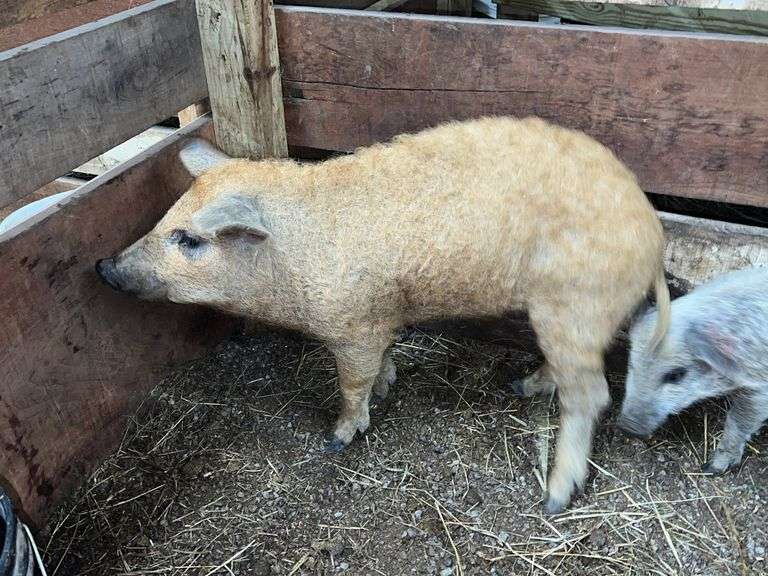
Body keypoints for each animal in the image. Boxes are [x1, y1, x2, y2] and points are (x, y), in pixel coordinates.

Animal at [96, 116, 670, 513]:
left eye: (189, 240)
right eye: (166, 216)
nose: (103, 266)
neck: (293, 257)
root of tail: (651, 231)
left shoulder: (351, 327)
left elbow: (352, 383)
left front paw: (337, 438)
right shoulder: (380, 315)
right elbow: (384, 360)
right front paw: (389, 385)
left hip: (575, 304)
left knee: (592, 394)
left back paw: (553, 499)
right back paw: (520, 387)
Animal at [619, 266, 768, 474]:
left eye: (675, 375)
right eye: (632, 364)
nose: (626, 427)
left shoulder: (759, 382)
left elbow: (739, 420)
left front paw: (711, 468)